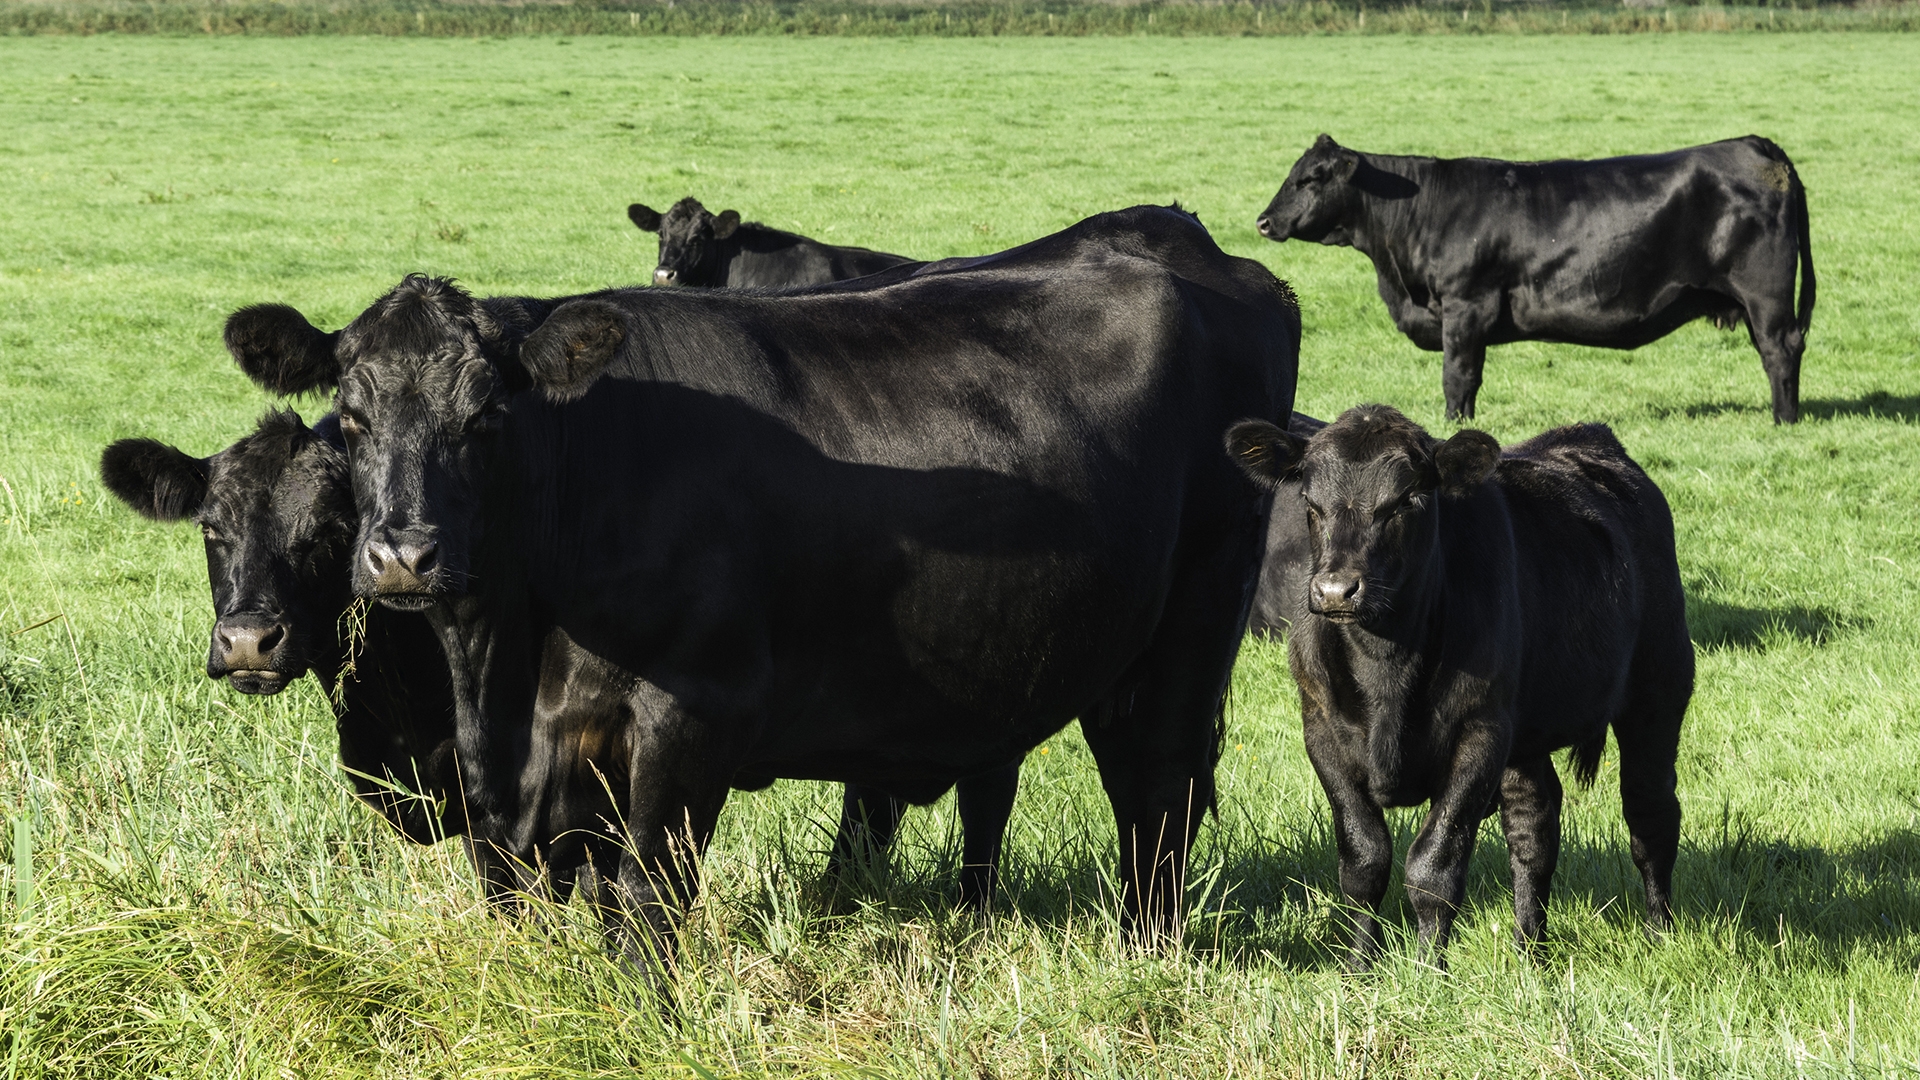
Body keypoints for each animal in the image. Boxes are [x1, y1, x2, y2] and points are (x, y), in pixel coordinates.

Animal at [1226, 405, 1691, 970]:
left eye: (1406, 500)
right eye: (1310, 504)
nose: (1336, 590)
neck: (1386, 667)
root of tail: (1591, 438)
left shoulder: (1478, 732)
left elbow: (1433, 865)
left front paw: (1429, 969)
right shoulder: (1321, 730)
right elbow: (1364, 861)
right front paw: (1358, 968)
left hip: (1659, 687)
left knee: (1650, 812)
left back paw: (1660, 935)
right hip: (1526, 734)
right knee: (1533, 825)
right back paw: (1529, 949)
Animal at [1257, 135, 1815, 423]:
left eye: (1311, 178)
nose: (1263, 221)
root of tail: (1757, 145)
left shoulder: (1466, 304)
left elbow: (1458, 375)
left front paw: (1453, 425)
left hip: (1766, 297)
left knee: (1780, 351)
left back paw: (1783, 420)